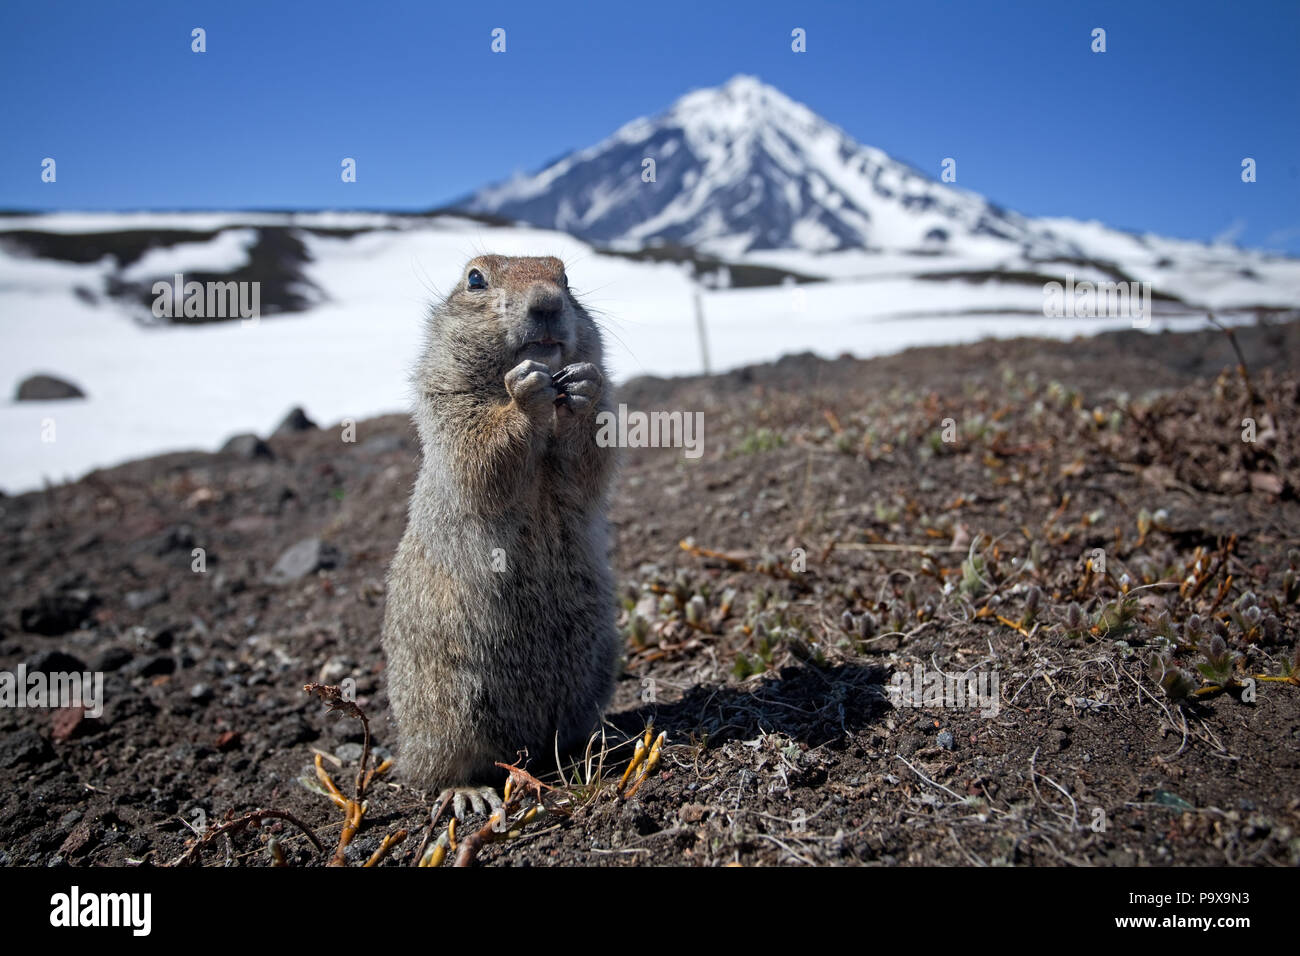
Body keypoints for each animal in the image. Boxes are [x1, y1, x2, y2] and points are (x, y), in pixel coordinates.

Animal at [380, 254, 621, 809]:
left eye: (566, 278)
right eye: (475, 279)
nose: (548, 303)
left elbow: (588, 461)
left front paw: (584, 384)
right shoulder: (448, 403)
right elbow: (481, 453)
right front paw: (524, 391)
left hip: (595, 667)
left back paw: (589, 749)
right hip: (443, 704)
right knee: (439, 767)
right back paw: (467, 792)